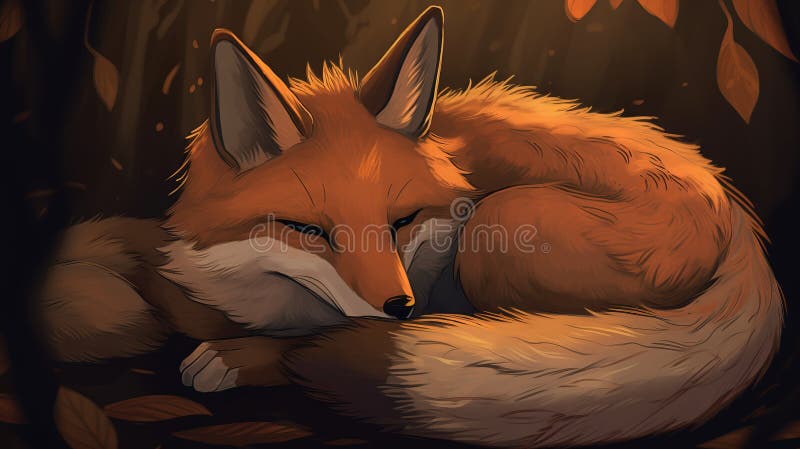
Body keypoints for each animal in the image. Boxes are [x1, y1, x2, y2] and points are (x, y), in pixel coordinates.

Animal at [37, 6, 783, 448]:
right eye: (311, 230)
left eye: (400, 222)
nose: (401, 306)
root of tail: (739, 219)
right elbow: (133, 255)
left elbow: (305, 337)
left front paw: (235, 353)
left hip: (501, 224)